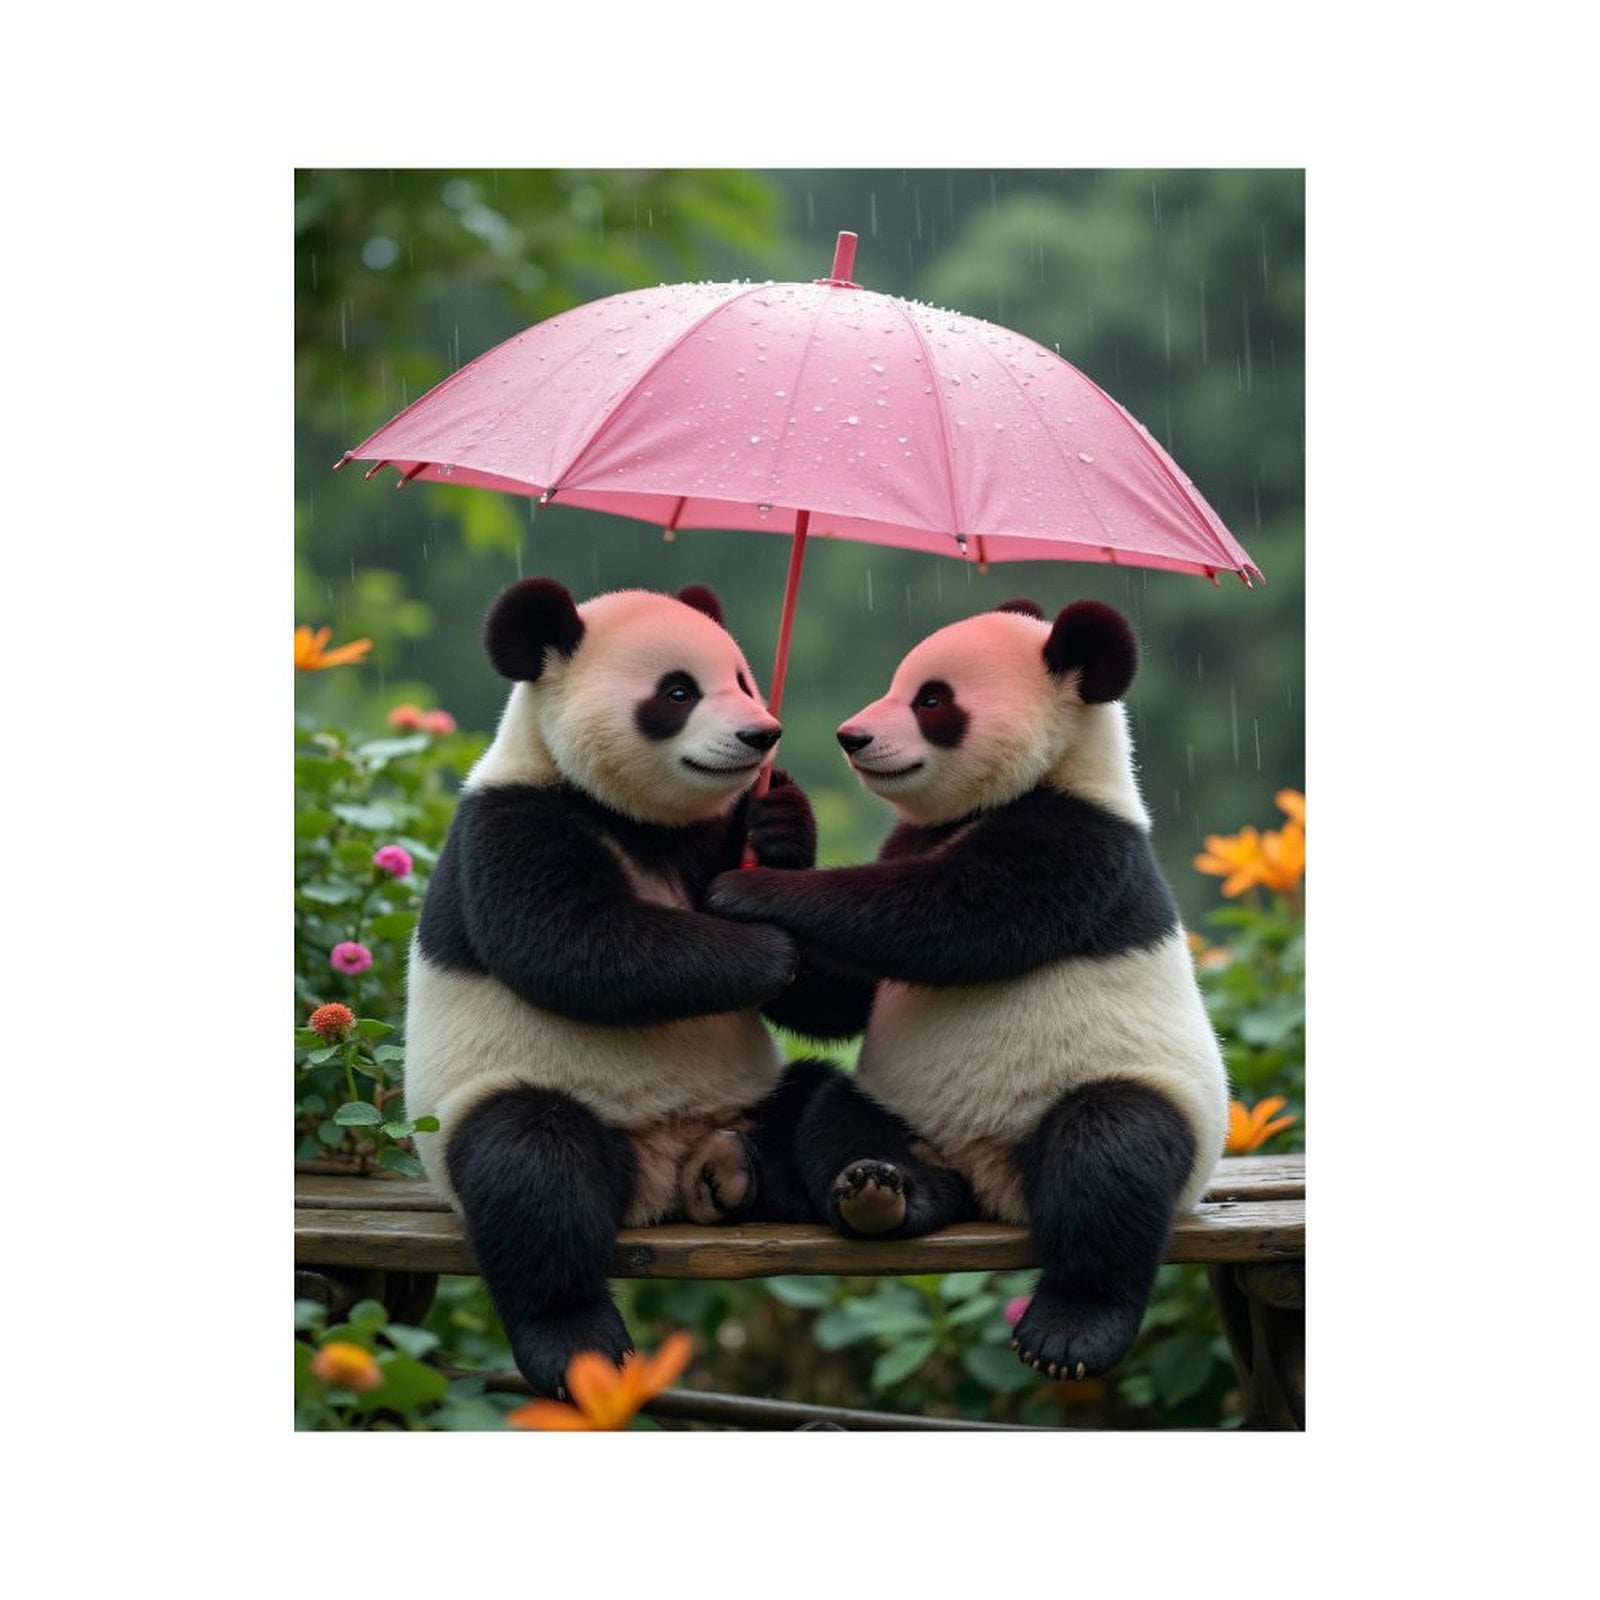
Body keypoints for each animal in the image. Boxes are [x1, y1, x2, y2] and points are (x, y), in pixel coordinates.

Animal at [404, 576, 832, 1397]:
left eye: (743, 680)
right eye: (678, 692)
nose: (761, 734)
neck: (633, 816)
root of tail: (667, 1175)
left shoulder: (709, 834)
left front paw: (783, 829)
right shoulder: (515, 819)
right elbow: (577, 946)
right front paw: (765, 950)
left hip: (746, 1100)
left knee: (827, 1104)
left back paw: (839, 1182)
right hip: (498, 1101)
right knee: (532, 1169)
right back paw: (578, 1348)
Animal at [707, 598, 1229, 1382]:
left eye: (932, 701)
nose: (852, 736)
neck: (1049, 776)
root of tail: (992, 1180)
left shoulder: (1078, 844)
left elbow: (949, 917)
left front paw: (751, 890)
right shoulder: (918, 834)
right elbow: (847, 998)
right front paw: (775, 825)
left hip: (1151, 1101)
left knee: (1112, 1154)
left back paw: (1070, 1331)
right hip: (899, 1103)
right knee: (833, 1117)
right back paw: (865, 1190)